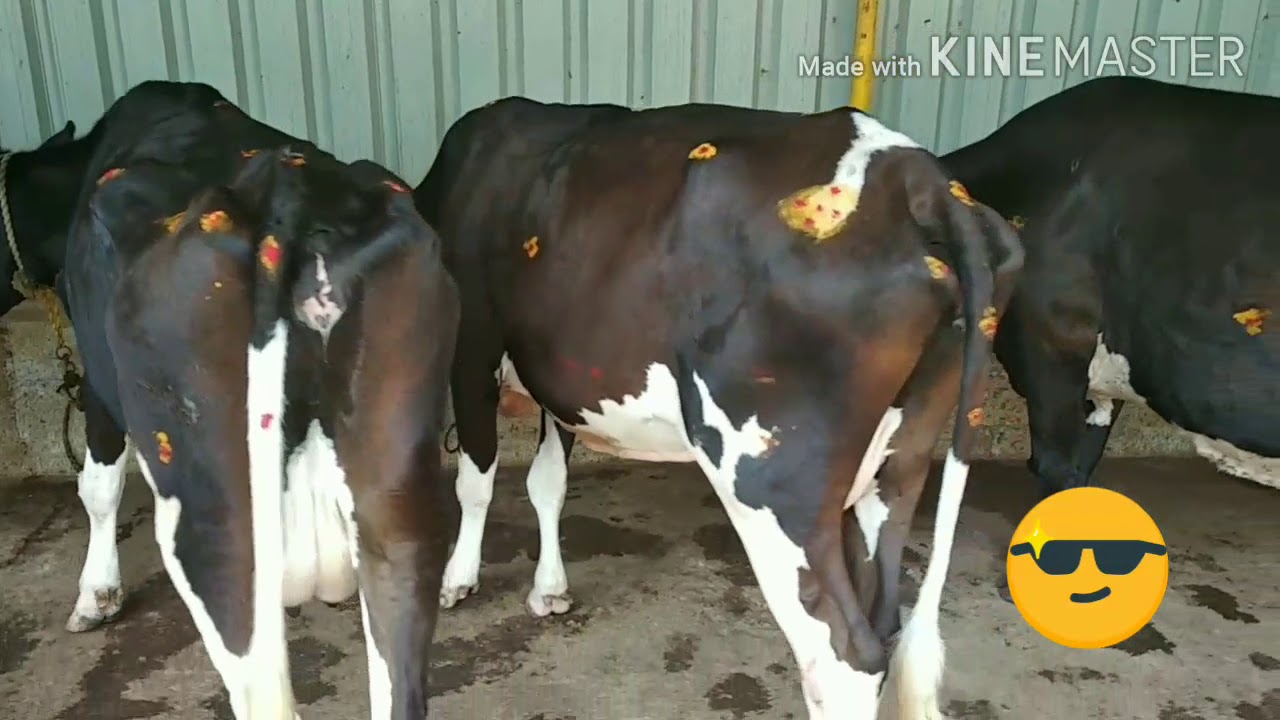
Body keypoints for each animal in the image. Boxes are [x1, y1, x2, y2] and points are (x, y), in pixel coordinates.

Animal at [0, 80, 459, 717]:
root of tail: (285, 192)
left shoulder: (95, 379)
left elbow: (96, 484)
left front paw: (95, 595)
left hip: (216, 528)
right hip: (398, 497)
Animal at [412, 97, 1023, 718]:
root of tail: (919, 180)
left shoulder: (472, 350)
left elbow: (476, 479)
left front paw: (458, 578)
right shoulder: (560, 383)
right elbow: (547, 481)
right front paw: (549, 588)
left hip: (769, 477)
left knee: (843, 657)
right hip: (901, 457)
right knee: (886, 625)